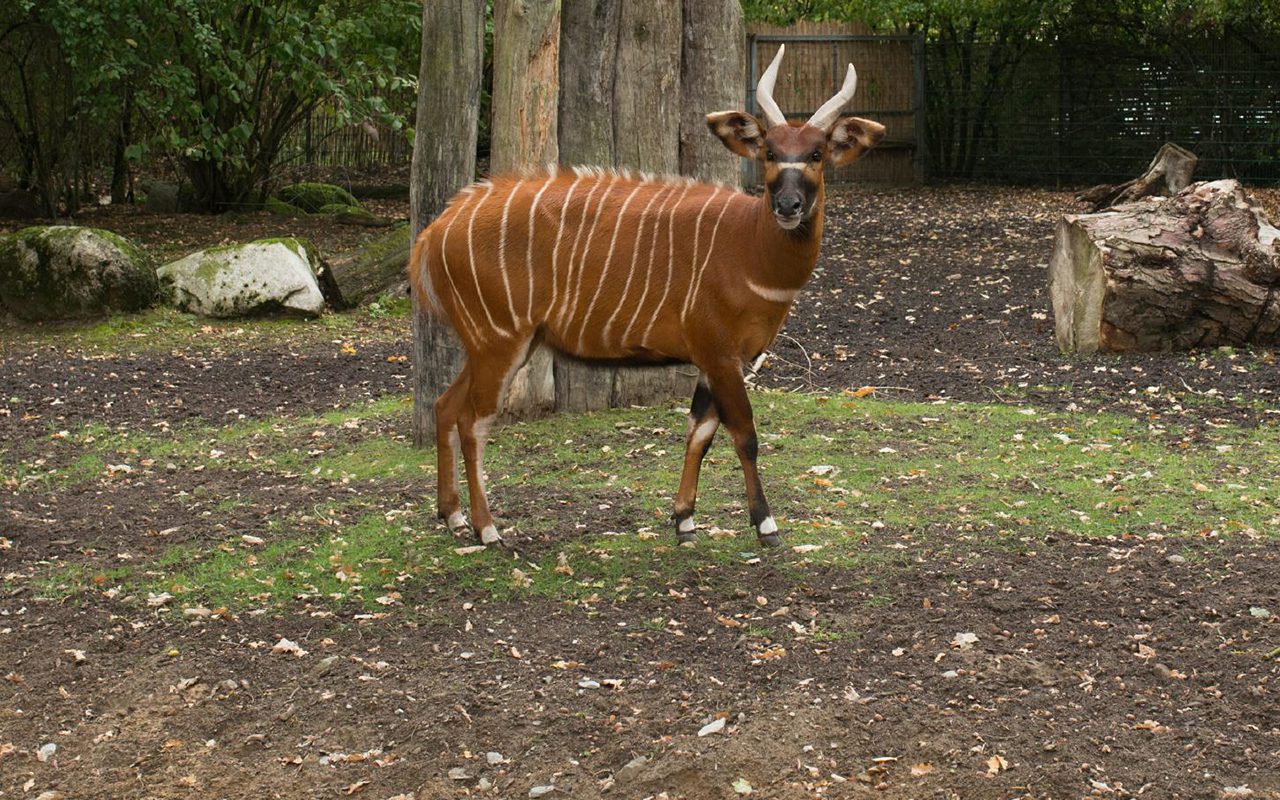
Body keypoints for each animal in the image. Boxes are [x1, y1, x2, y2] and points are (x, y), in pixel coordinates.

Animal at [408, 45, 884, 548]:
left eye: (816, 153)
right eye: (771, 152)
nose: (788, 206)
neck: (750, 247)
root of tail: (434, 231)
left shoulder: (713, 359)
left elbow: (699, 432)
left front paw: (685, 520)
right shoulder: (721, 354)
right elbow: (744, 434)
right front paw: (766, 526)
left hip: (492, 343)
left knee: (444, 405)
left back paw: (453, 515)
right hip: (500, 340)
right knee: (473, 421)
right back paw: (487, 528)